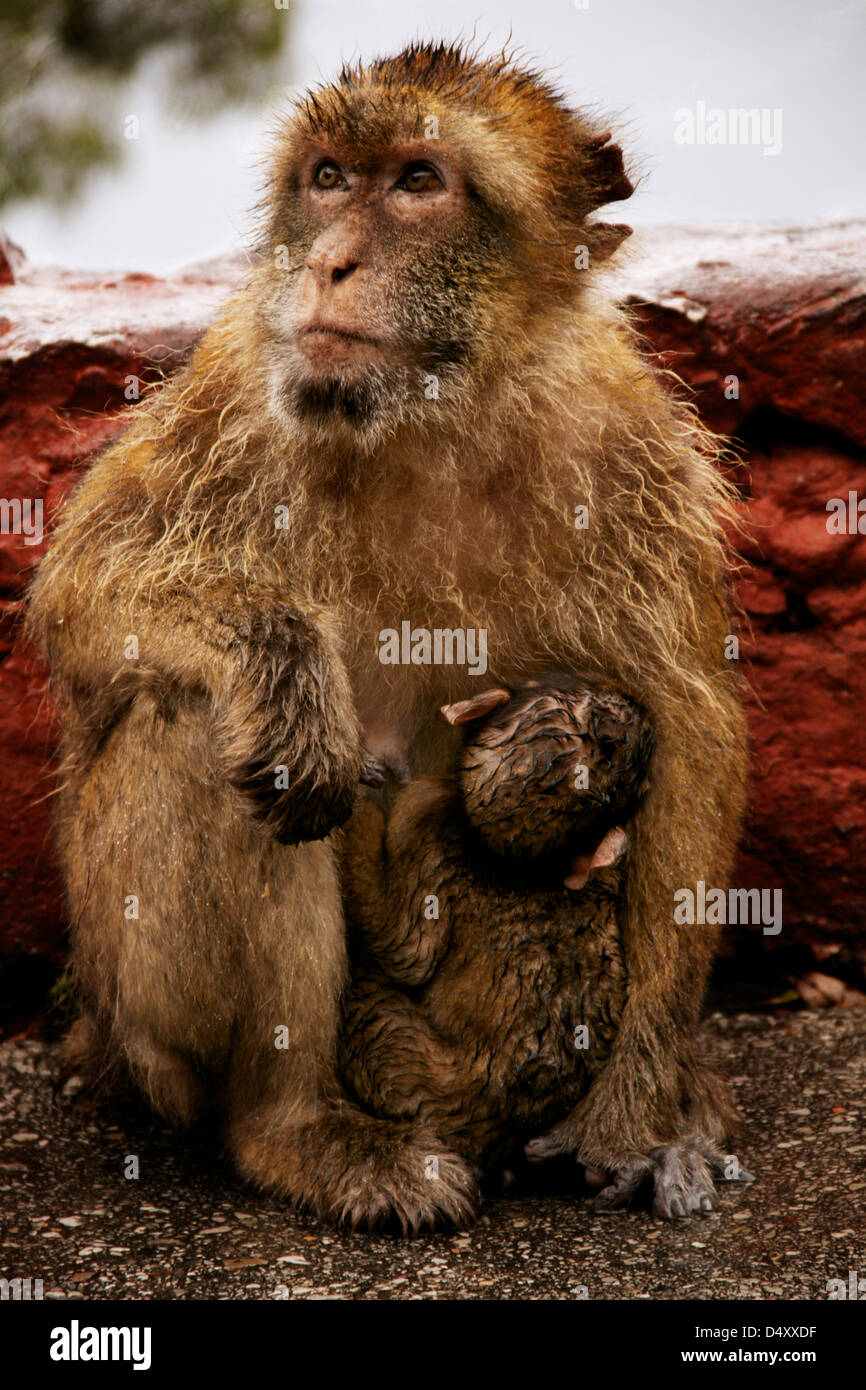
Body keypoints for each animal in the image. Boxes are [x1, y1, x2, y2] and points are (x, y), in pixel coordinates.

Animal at [28, 40, 748, 1227]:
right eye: (328, 178)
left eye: (417, 181)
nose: (328, 262)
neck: (431, 409)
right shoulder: (242, 378)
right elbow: (91, 582)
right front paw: (287, 672)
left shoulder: (625, 435)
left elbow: (689, 721)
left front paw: (639, 1105)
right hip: (138, 1022)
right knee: (200, 722)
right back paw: (294, 1132)